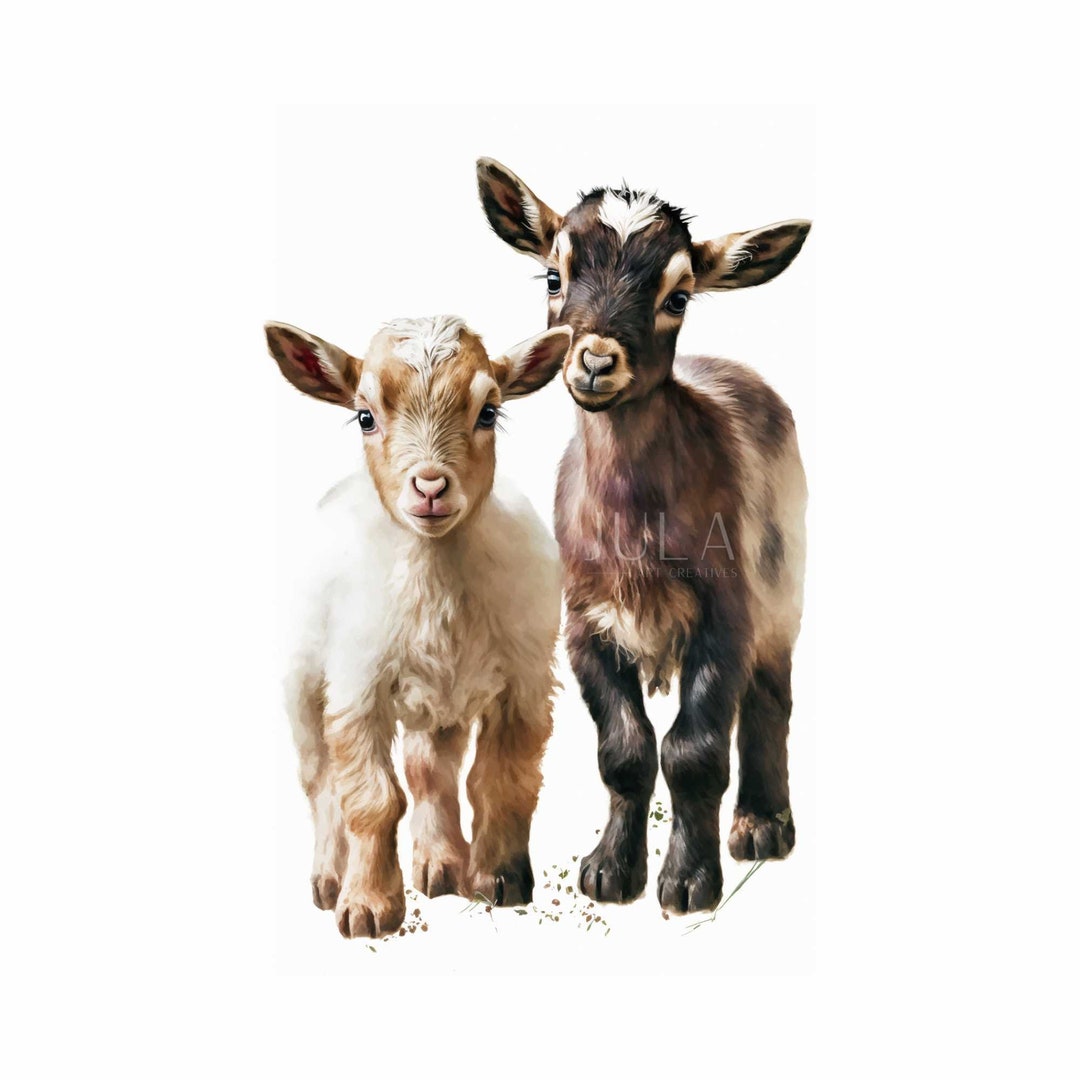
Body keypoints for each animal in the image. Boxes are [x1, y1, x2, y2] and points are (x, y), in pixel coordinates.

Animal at [266, 315, 571, 937]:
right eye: (365, 416)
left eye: (489, 412)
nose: (430, 487)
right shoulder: (356, 690)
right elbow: (372, 799)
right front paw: (367, 906)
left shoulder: (526, 686)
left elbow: (501, 780)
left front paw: (500, 879)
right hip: (303, 688)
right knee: (320, 783)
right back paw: (329, 878)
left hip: (441, 703)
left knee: (431, 771)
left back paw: (443, 866)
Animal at [477, 159, 811, 914]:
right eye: (553, 275)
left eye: (678, 295)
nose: (596, 361)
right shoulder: (586, 626)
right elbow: (624, 751)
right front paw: (608, 870)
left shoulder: (726, 617)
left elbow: (694, 751)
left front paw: (689, 881)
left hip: (782, 595)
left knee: (770, 699)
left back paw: (762, 825)